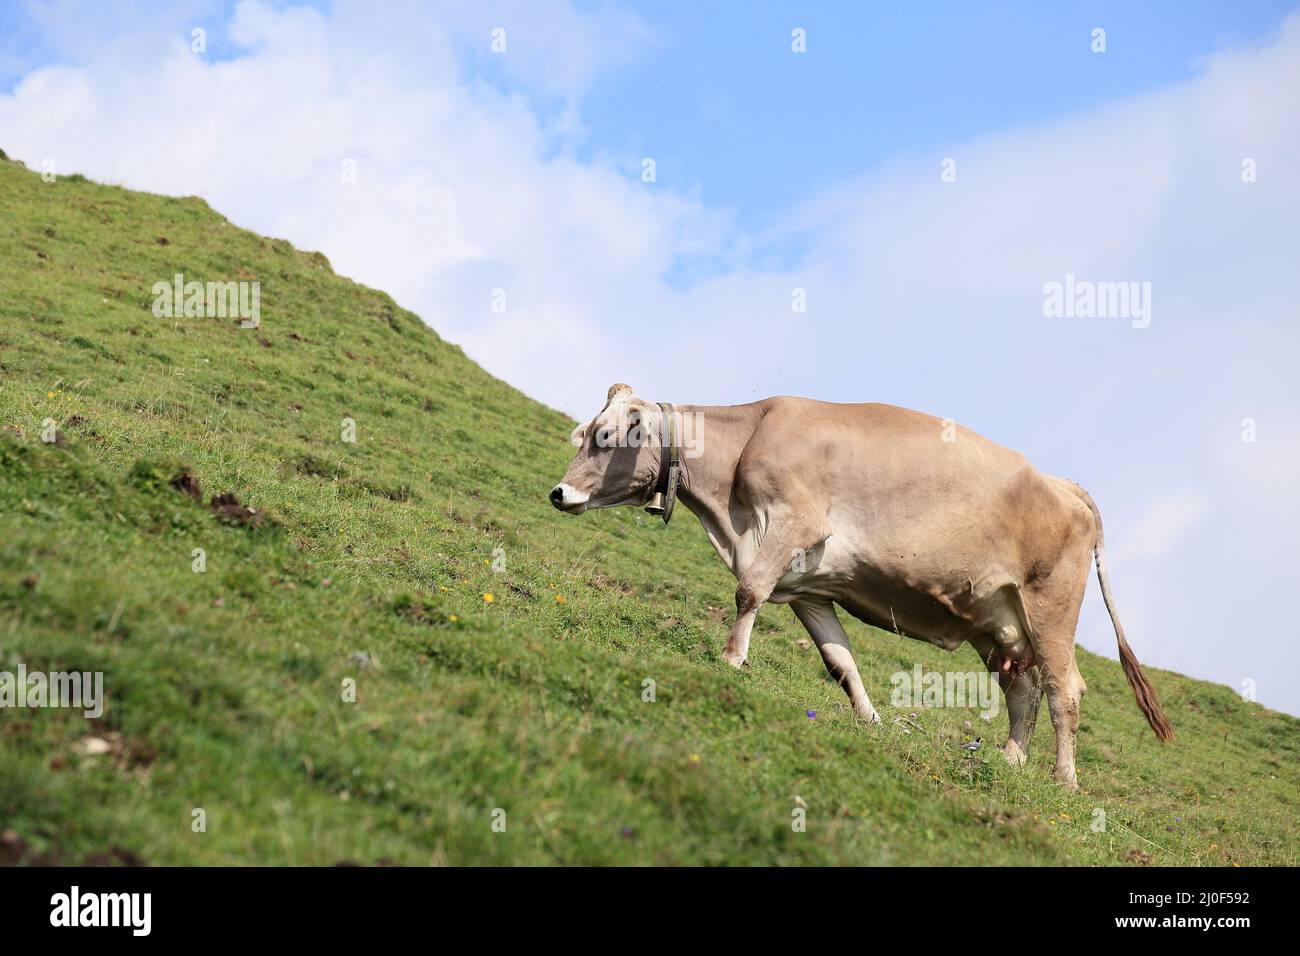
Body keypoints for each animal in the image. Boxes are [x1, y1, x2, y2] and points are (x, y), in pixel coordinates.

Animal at [549, 384, 1172, 789]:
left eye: (606, 436)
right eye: (582, 434)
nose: (559, 492)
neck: (728, 515)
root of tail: (1060, 482)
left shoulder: (794, 524)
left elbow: (749, 590)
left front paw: (730, 660)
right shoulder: (808, 587)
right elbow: (839, 660)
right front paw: (870, 719)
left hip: (1051, 607)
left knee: (1066, 689)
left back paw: (1064, 780)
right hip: (999, 622)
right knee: (1023, 688)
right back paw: (1010, 760)